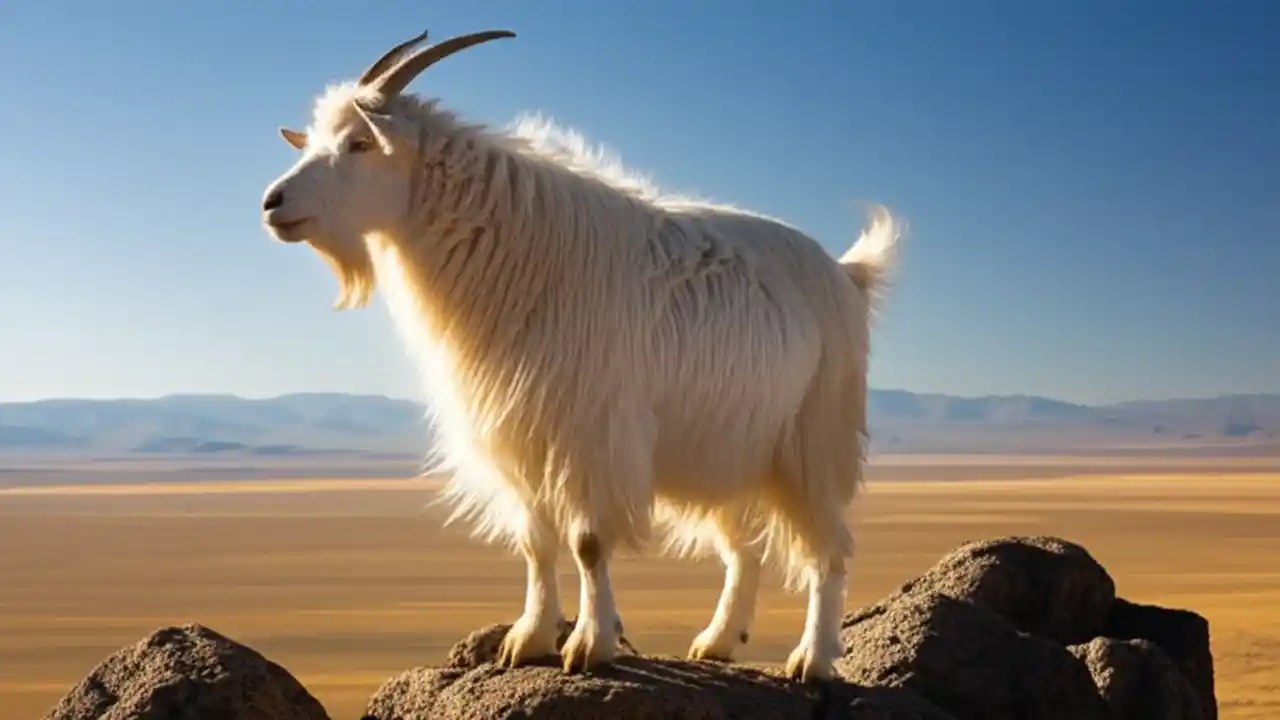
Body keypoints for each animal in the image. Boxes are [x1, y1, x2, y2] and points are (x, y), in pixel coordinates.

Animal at [260, 27, 902, 681]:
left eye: (360, 142)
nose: (273, 203)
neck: (521, 247)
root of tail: (846, 273)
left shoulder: (592, 436)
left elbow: (588, 543)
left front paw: (590, 644)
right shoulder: (520, 433)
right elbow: (534, 541)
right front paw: (529, 639)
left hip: (814, 438)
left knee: (829, 549)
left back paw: (811, 658)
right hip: (726, 447)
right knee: (742, 547)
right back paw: (718, 640)